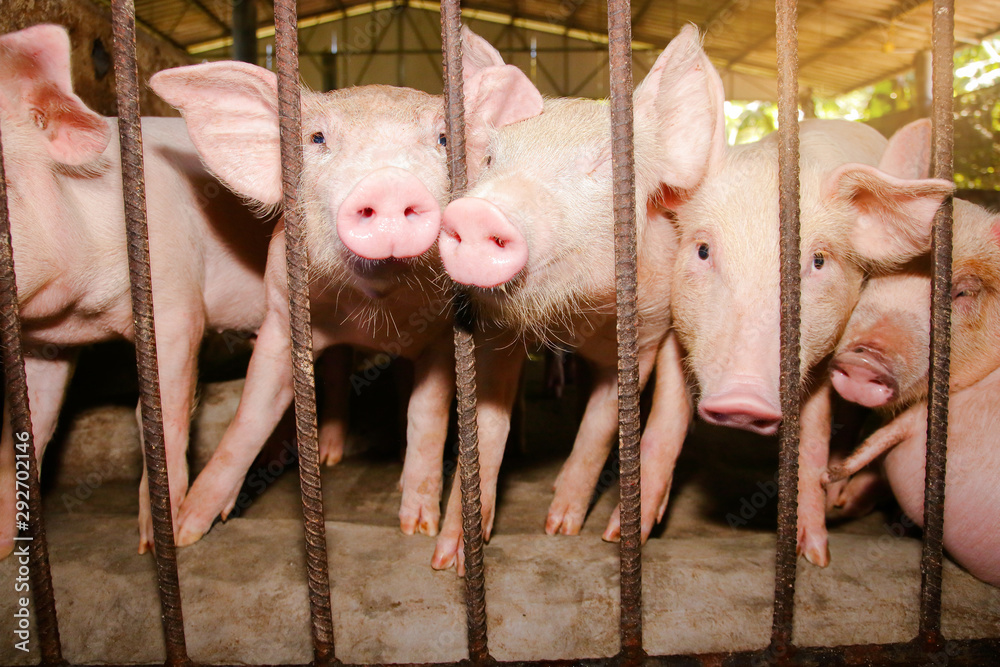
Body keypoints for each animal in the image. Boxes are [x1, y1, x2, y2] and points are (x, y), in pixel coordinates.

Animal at [0, 24, 275, 557]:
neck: (81, 311)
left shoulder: (173, 294)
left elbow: (160, 412)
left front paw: (161, 541)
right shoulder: (43, 342)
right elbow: (33, 423)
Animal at [149, 61, 469, 545]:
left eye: (445, 139)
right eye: (317, 138)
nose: (390, 184)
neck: (373, 315)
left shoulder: (439, 336)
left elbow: (427, 416)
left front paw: (417, 528)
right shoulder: (282, 315)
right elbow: (249, 417)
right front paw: (186, 531)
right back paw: (327, 458)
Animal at [429, 26, 706, 572]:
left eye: (606, 165)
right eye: (490, 160)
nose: (479, 212)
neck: (575, 315)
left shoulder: (647, 327)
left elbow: (602, 423)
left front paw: (562, 528)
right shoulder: (494, 330)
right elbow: (486, 426)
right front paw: (449, 559)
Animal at [649, 61, 953, 564]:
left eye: (819, 261)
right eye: (703, 249)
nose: (743, 399)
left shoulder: (831, 347)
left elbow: (813, 436)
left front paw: (815, 554)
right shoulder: (679, 327)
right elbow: (666, 418)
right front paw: (621, 534)